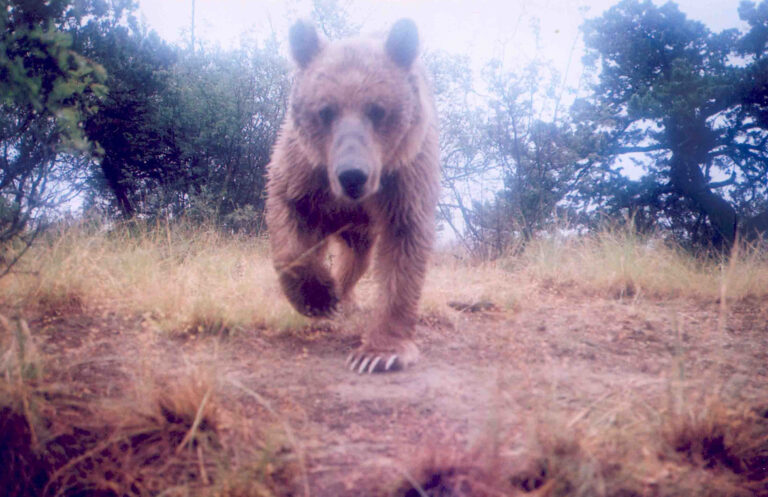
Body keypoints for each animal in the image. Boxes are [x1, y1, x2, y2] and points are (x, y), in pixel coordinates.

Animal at [265, 18, 440, 373]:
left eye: (377, 110)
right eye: (325, 110)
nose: (352, 176)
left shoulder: (405, 177)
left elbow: (405, 246)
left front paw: (378, 354)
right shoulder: (303, 170)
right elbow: (288, 218)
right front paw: (317, 297)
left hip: (360, 231)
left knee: (357, 261)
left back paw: (344, 297)